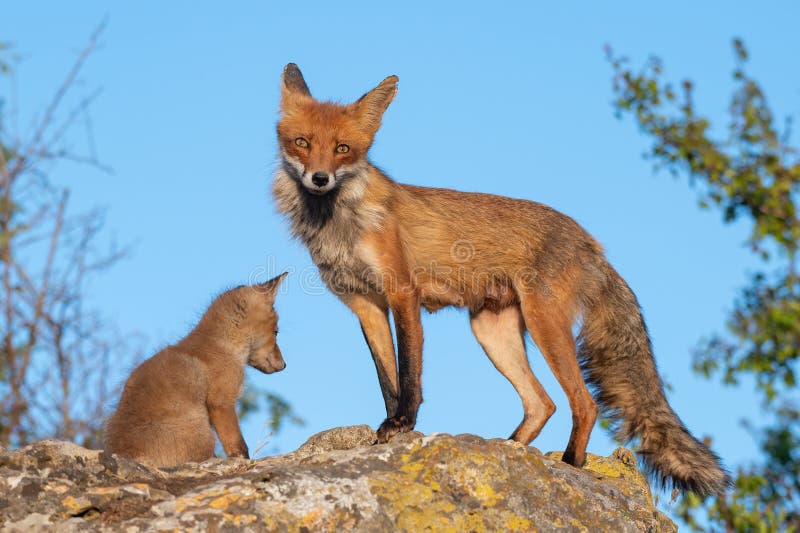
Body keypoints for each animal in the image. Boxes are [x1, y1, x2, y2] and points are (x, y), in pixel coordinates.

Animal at [104, 274, 287, 467]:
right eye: (276, 332)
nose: (284, 365)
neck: (223, 346)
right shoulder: (222, 403)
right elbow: (238, 445)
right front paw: (244, 461)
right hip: (205, 434)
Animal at [272, 64, 730, 495]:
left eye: (342, 149)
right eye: (302, 143)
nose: (319, 179)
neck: (341, 224)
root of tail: (592, 243)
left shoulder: (403, 295)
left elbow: (409, 375)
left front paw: (403, 424)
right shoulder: (365, 306)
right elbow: (387, 378)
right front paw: (387, 428)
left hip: (545, 326)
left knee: (583, 404)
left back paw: (570, 465)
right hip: (492, 332)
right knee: (542, 404)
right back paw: (510, 449)